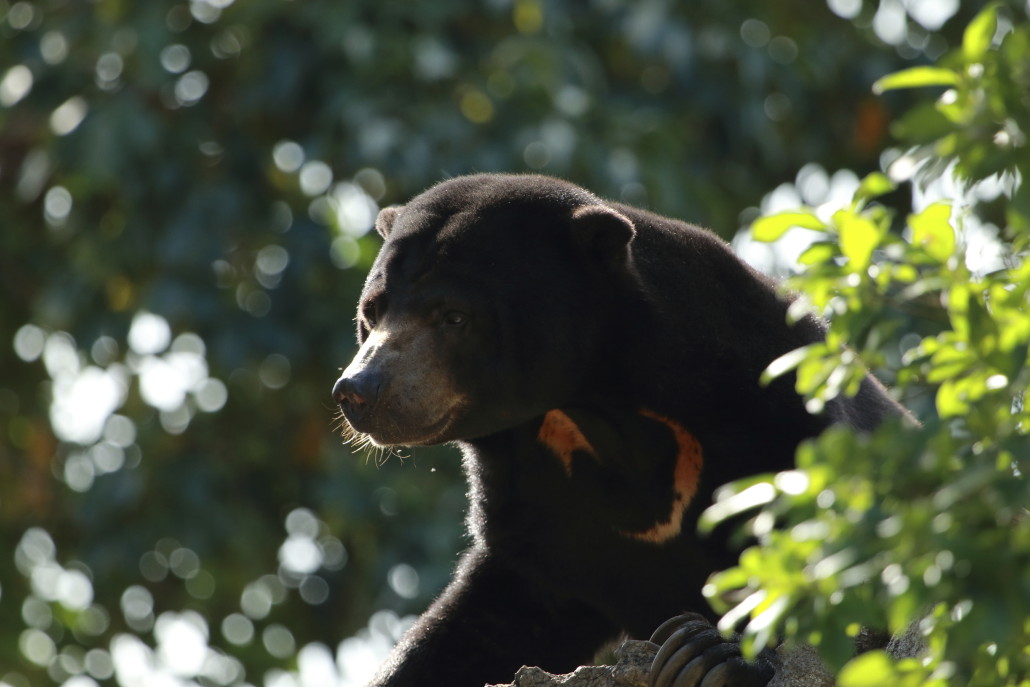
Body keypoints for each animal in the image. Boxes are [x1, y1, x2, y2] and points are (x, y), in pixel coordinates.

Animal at [331, 173, 906, 687]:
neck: (597, 404)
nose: (358, 390)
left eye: (453, 316)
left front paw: (709, 657)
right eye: (372, 312)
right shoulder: (537, 490)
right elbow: (501, 608)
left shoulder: (772, 397)